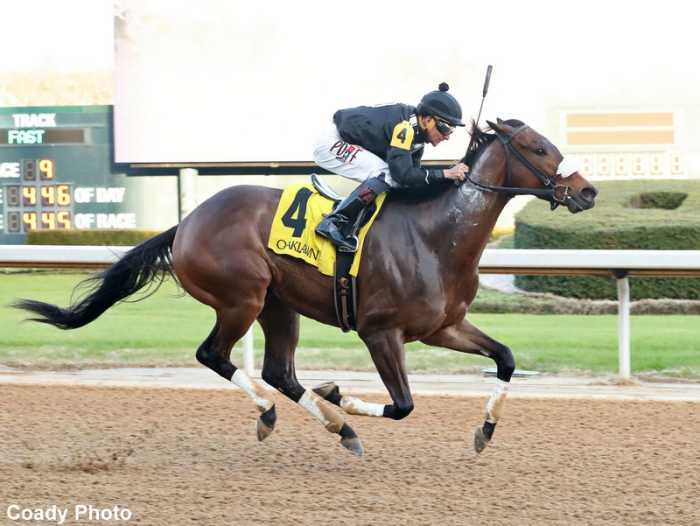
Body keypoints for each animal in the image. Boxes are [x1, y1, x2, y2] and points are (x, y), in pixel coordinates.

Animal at [14, 118, 598, 456]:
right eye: (537, 148)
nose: (587, 191)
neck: (438, 235)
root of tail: (187, 222)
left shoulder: (444, 327)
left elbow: (506, 359)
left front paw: (485, 431)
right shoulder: (380, 331)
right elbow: (403, 404)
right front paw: (345, 396)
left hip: (278, 304)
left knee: (279, 371)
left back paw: (336, 425)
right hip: (242, 297)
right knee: (215, 355)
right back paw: (284, 413)